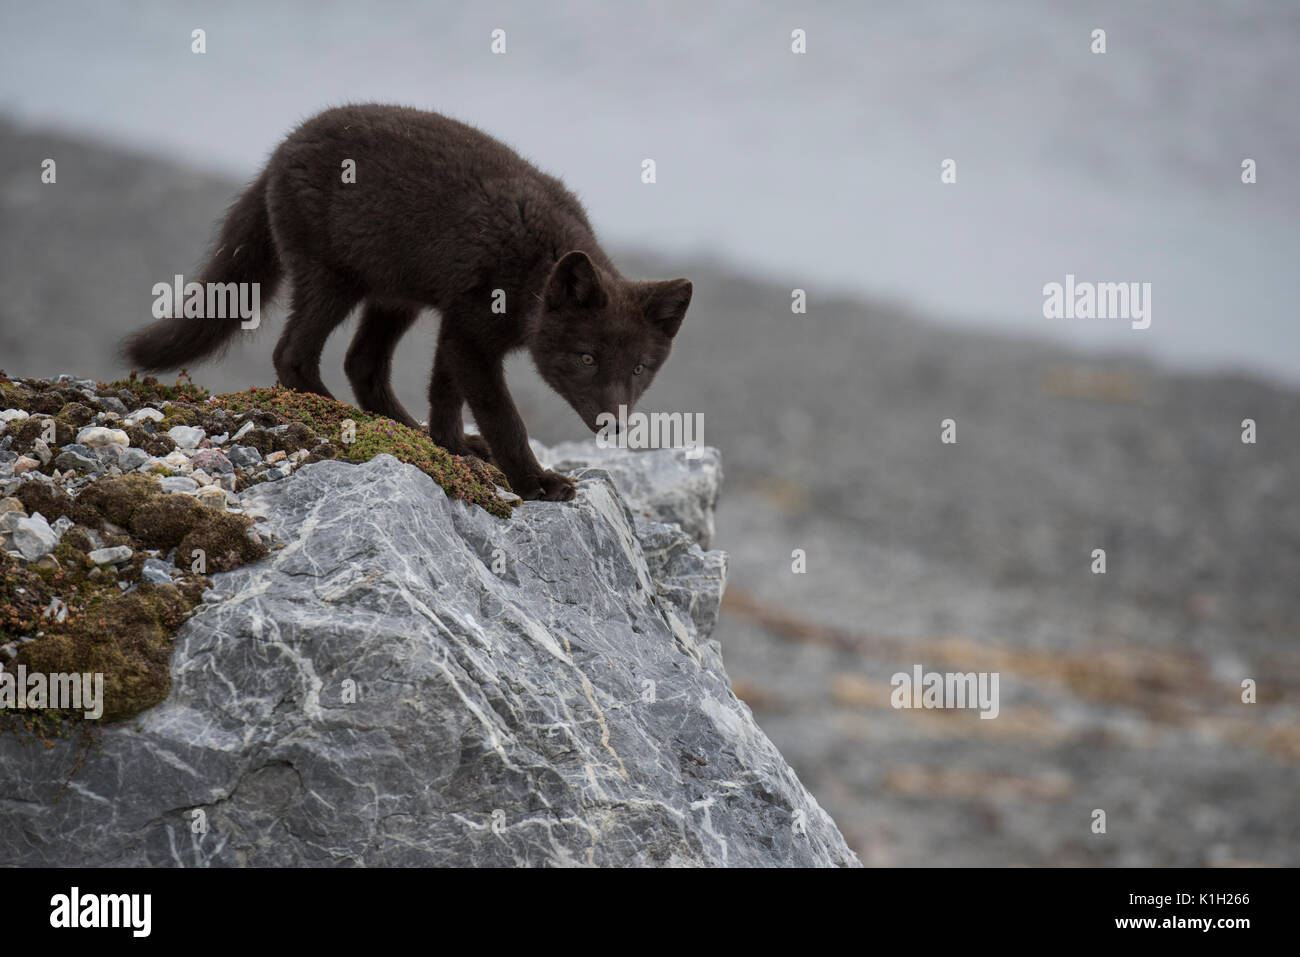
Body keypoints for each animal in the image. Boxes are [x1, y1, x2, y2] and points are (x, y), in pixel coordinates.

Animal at [120, 104, 693, 501]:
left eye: (640, 368)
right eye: (587, 358)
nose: (615, 424)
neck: (534, 260)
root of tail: (282, 148)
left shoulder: (457, 324)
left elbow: (444, 394)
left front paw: (452, 447)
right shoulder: (471, 334)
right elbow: (502, 416)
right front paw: (536, 483)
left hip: (394, 296)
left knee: (362, 363)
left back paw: (403, 429)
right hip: (333, 281)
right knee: (293, 355)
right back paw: (339, 415)